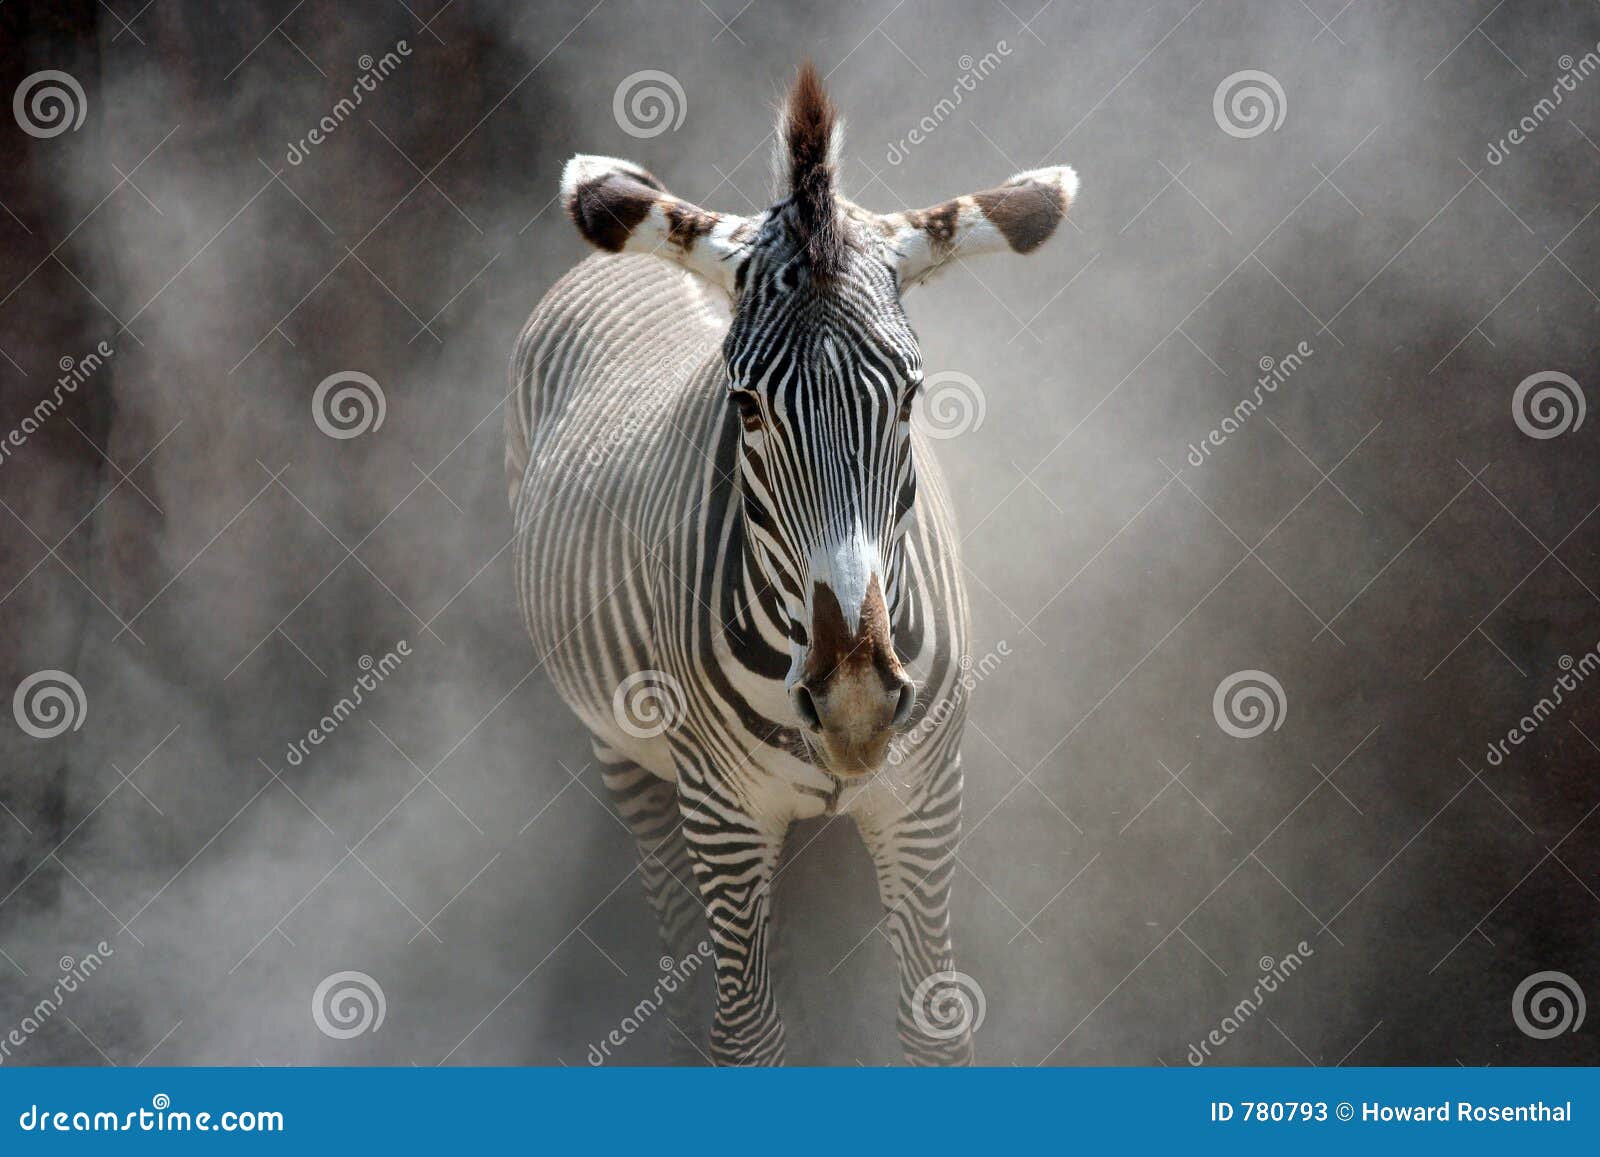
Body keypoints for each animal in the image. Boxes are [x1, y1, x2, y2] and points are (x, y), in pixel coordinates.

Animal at [508, 58, 1088, 1062]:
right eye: (743, 404)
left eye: (911, 396)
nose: (855, 701)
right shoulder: (724, 814)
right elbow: (748, 1032)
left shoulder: (924, 803)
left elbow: (933, 1027)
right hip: (622, 747)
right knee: (674, 924)